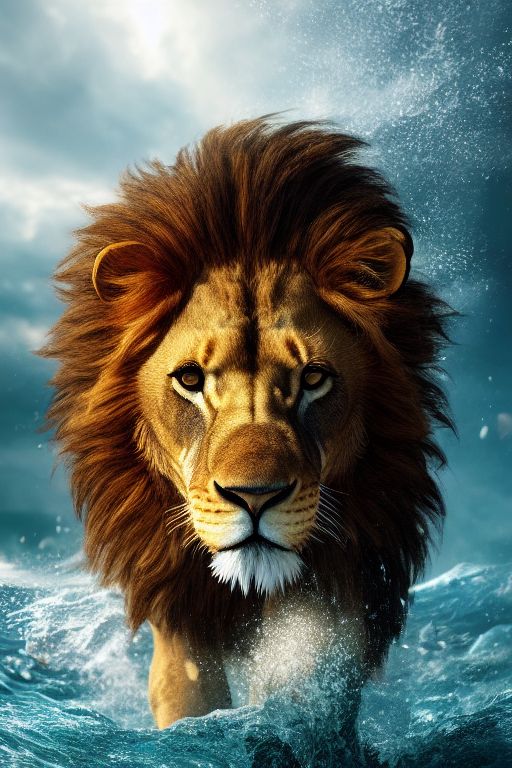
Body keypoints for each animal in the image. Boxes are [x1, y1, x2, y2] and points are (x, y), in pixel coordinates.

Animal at [40, 116, 454, 729]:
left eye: (313, 378)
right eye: (191, 379)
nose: (254, 498)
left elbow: (305, 697)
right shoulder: (180, 609)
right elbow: (189, 701)